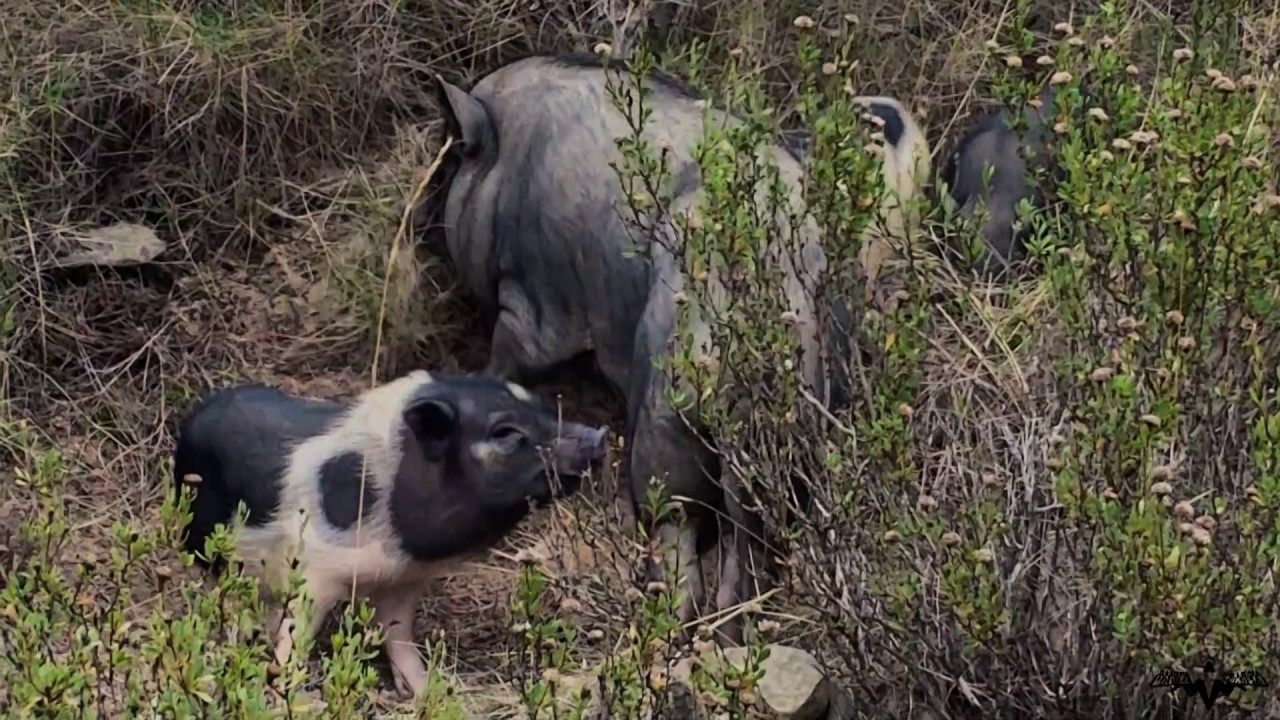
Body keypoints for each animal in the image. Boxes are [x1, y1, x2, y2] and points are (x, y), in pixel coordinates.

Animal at [172, 370, 608, 697]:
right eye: (504, 432)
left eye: (542, 406)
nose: (598, 437)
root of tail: (194, 417)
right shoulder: (313, 569)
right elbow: (297, 632)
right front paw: (286, 688)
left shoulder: (403, 581)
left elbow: (398, 635)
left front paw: (426, 689)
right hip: (201, 540)